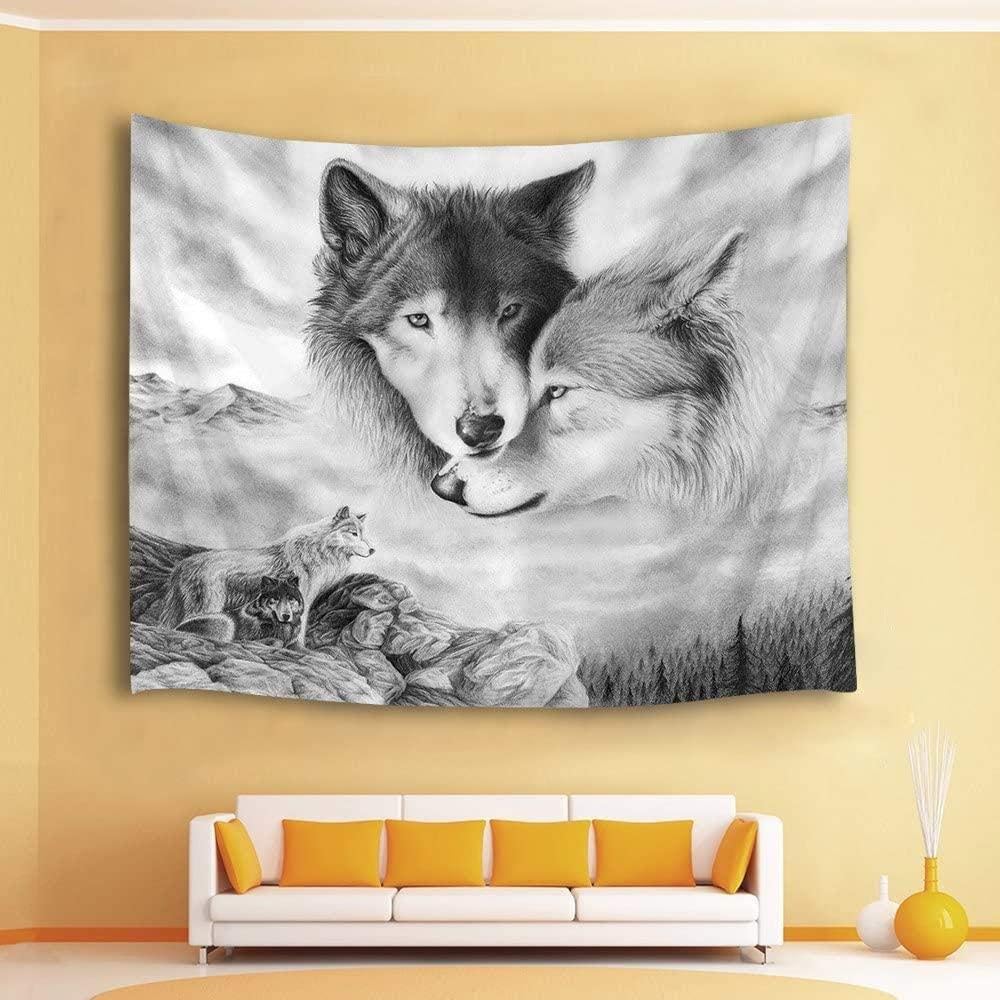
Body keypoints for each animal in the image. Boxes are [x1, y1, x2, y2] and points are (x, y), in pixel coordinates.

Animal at [159, 507, 373, 646]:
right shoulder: (302, 597)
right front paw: (299, 649)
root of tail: (181, 565)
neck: (319, 548)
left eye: (364, 534)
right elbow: (300, 629)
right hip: (208, 607)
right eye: (354, 533)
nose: (373, 550)